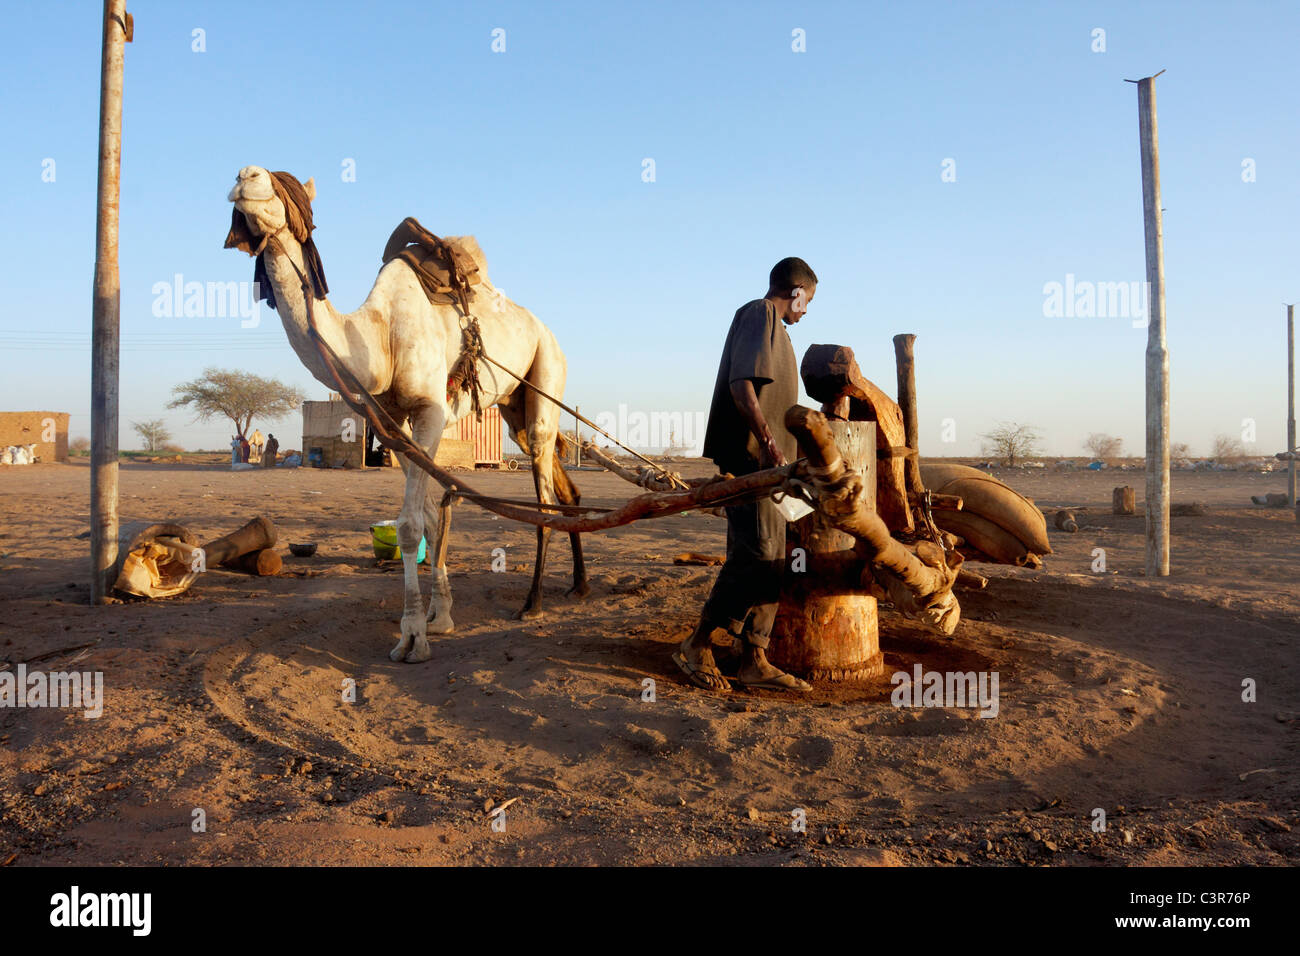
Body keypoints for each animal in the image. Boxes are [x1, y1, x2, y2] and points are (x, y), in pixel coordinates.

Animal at [224, 166, 588, 663]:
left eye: (283, 189)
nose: (246, 175)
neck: (380, 337)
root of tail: (545, 330)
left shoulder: (429, 411)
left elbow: (412, 525)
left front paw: (413, 635)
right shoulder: (394, 423)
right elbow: (432, 520)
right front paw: (441, 615)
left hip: (548, 370)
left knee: (544, 486)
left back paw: (532, 604)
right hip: (514, 404)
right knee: (563, 486)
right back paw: (579, 586)